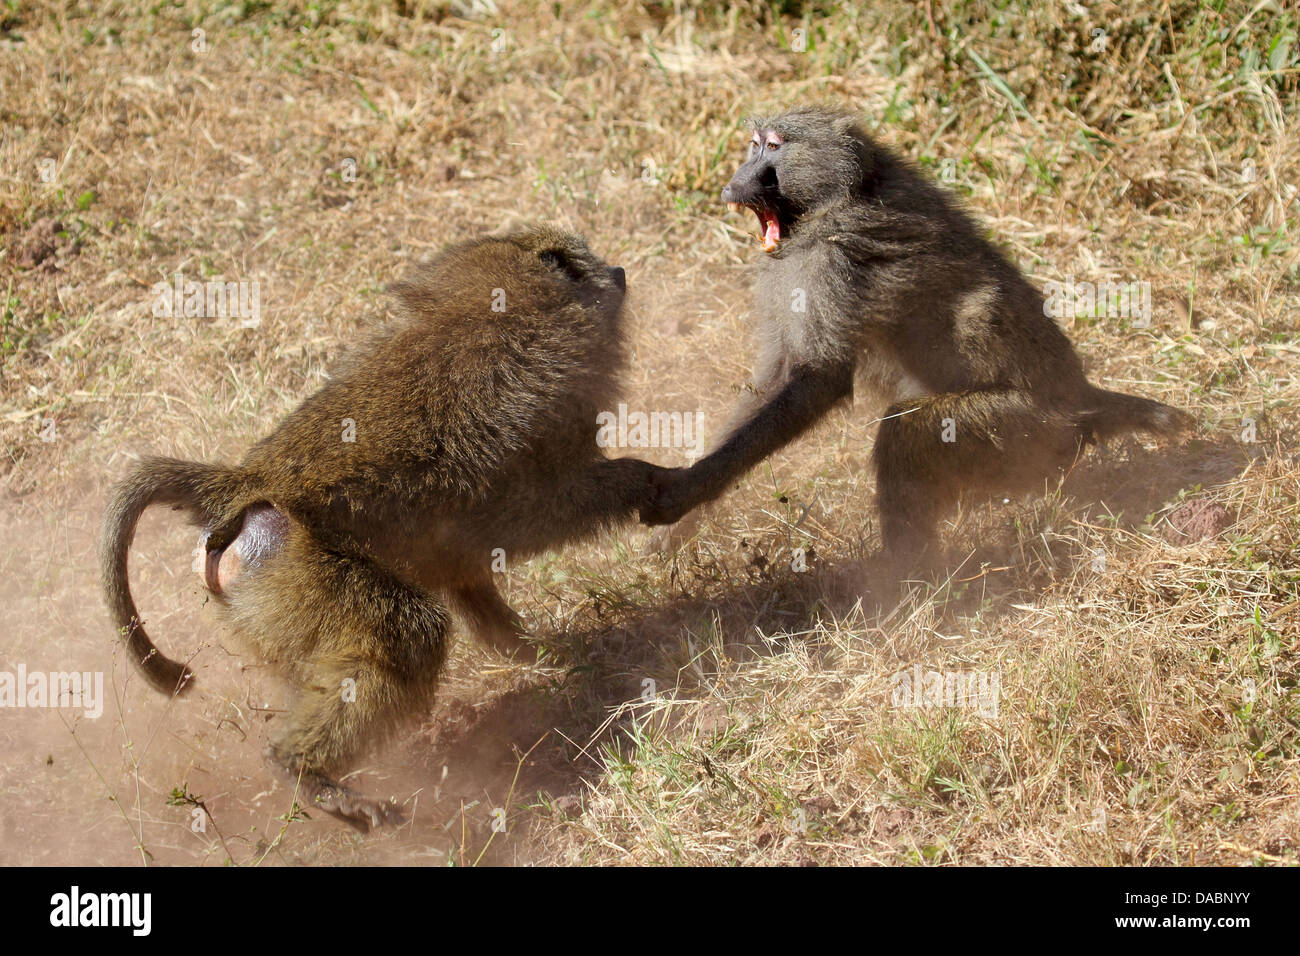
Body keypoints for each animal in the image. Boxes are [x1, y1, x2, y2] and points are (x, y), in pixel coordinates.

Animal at [102, 227, 668, 830]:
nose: (620, 272)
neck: (507, 312)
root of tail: (247, 483)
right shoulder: (539, 408)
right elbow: (534, 514)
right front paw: (653, 482)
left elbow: (467, 567)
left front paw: (537, 650)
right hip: (298, 570)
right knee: (409, 636)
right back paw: (303, 771)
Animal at [640, 107, 1192, 570]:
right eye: (753, 146)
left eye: (773, 147)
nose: (735, 181)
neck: (841, 195)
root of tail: (1081, 395)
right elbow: (773, 379)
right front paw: (687, 514)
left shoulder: (832, 260)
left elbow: (817, 381)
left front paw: (685, 491)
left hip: (1028, 428)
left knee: (906, 432)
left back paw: (903, 582)